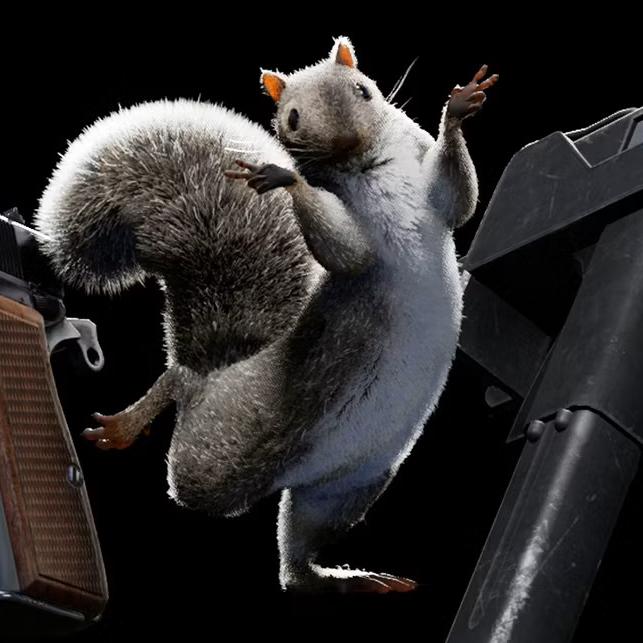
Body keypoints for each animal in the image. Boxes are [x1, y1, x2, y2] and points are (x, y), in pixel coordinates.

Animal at [34, 37, 497, 593]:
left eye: (363, 90)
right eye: (292, 118)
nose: (346, 140)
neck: (371, 168)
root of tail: (216, 374)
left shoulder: (430, 184)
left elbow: (460, 198)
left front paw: (461, 105)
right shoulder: (357, 236)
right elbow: (350, 252)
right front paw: (283, 177)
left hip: (341, 488)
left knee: (296, 559)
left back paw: (346, 578)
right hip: (218, 454)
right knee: (183, 404)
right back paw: (128, 424)